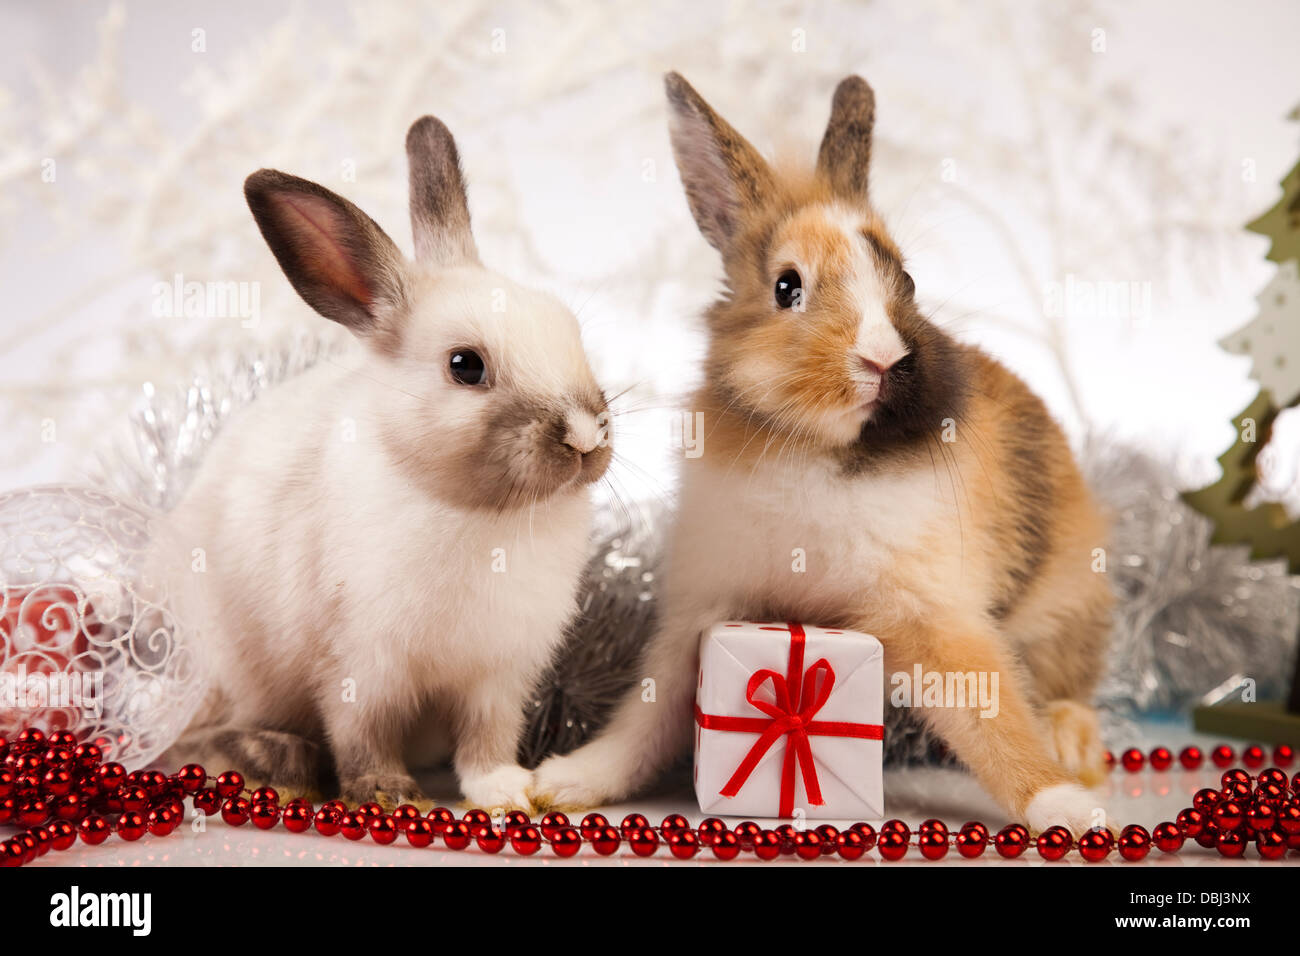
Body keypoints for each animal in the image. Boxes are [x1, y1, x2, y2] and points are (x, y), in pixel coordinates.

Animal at [158, 115, 611, 811]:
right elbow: (362, 731)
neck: (479, 515)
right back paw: (273, 759)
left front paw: (506, 793)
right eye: (465, 366)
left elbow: (486, 739)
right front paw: (387, 794)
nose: (586, 437)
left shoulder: (498, 676)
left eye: (570, 330)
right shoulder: (359, 665)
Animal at [531, 73, 1114, 835]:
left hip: (1065, 609)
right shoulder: (701, 611)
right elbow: (647, 717)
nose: (884, 360)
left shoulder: (936, 617)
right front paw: (567, 781)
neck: (815, 449)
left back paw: (1075, 749)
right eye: (787, 287)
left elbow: (992, 717)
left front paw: (1069, 810)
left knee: (1064, 686)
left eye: (907, 281)